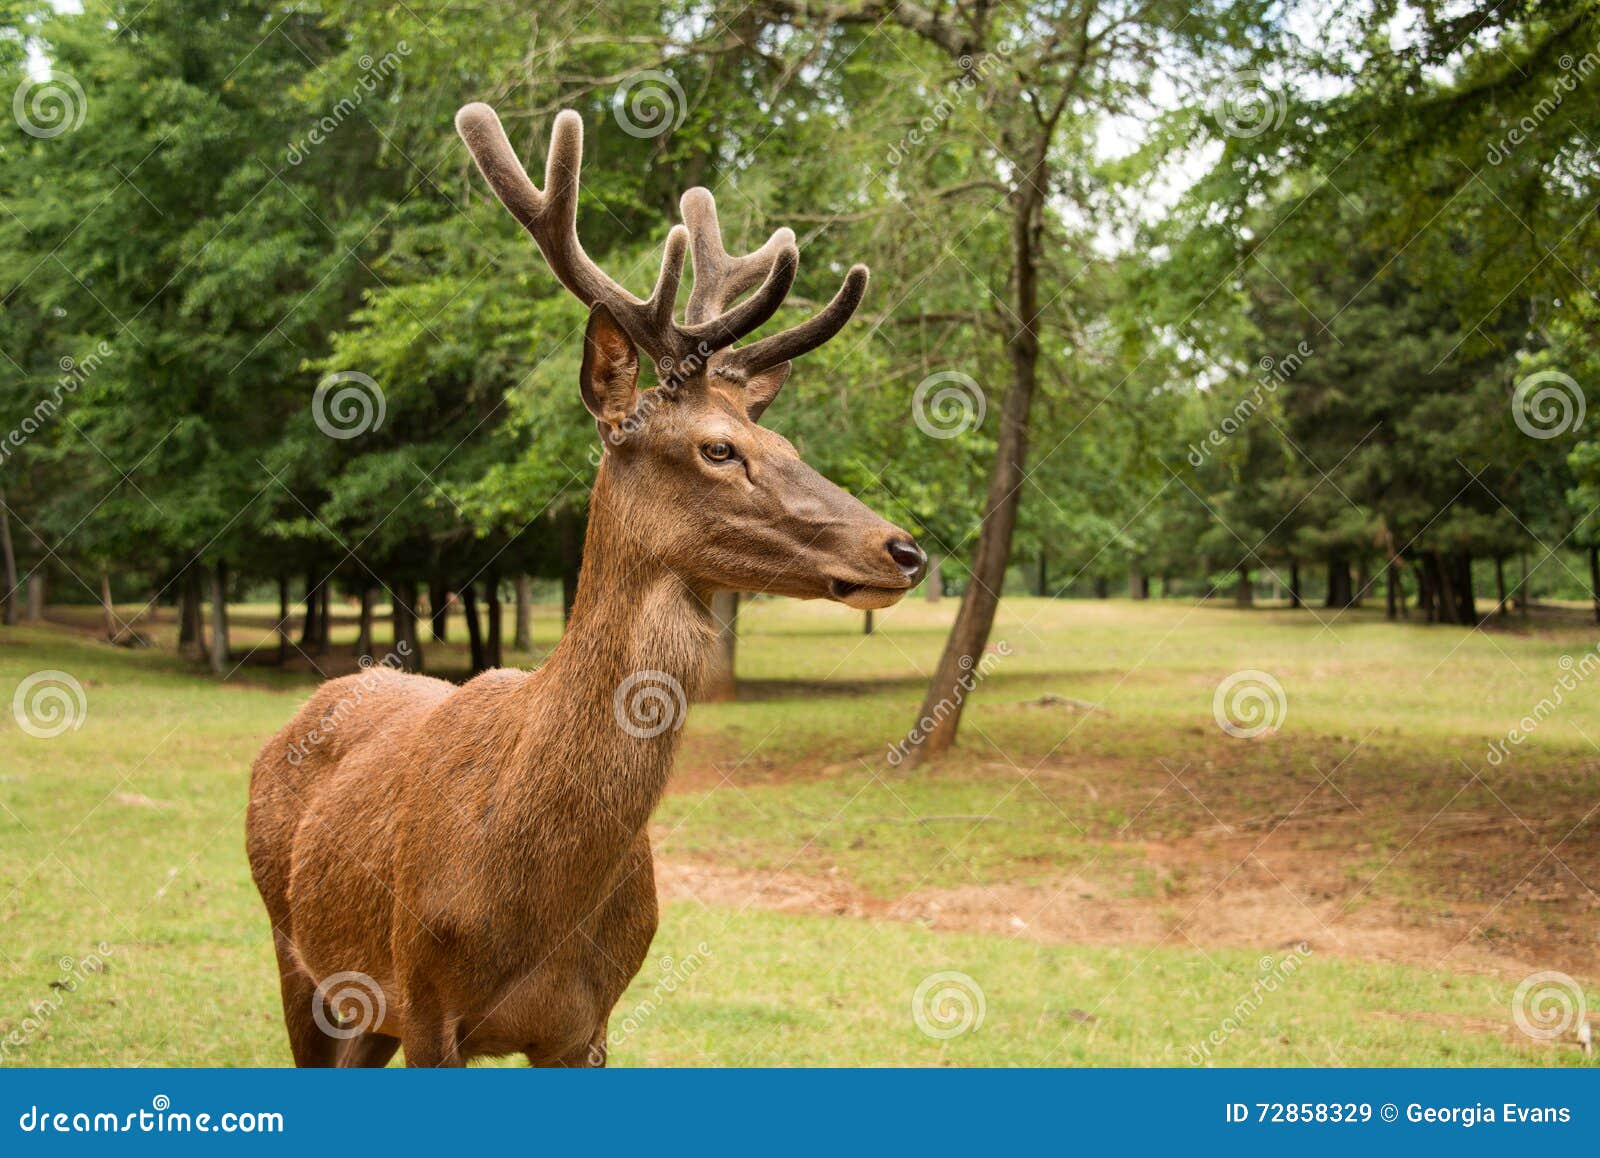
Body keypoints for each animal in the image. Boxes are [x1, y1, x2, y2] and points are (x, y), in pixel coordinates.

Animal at [245, 103, 927, 1067]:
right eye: (719, 449)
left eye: (788, 444)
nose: (903, 550)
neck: (532, 891)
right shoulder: (424, 995)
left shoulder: (587, 1020)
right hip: (295, 948)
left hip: (364, 1003)